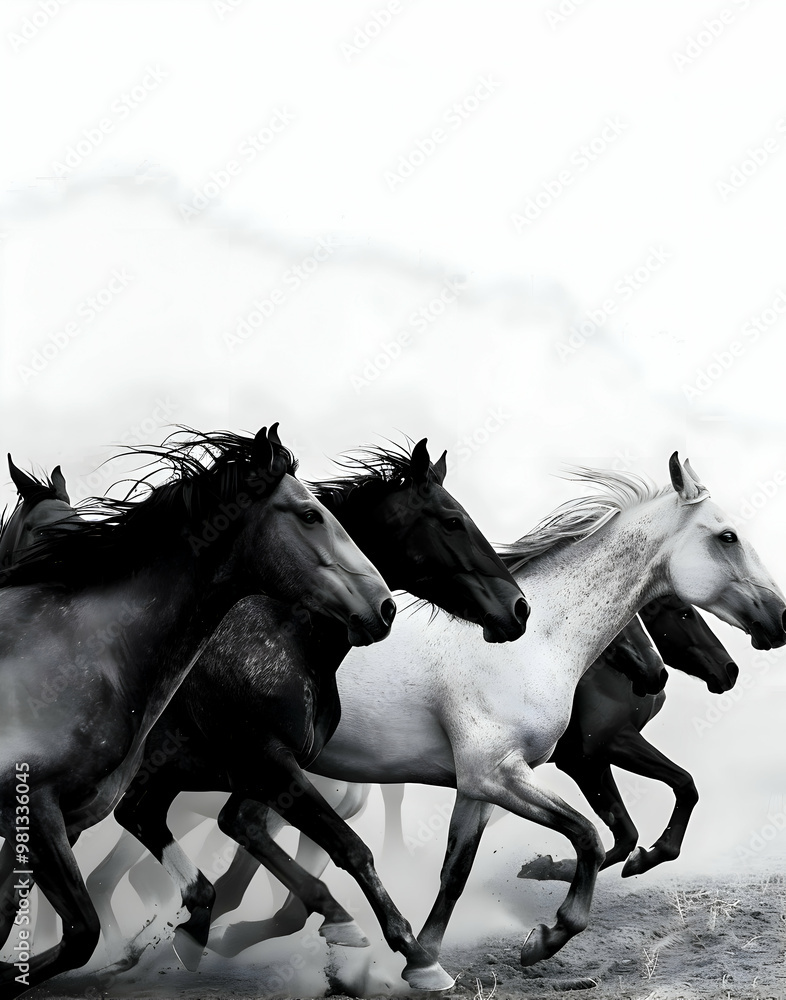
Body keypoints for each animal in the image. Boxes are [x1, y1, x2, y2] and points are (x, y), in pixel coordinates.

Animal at [86, 438, 529, 992]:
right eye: (452, 521)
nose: (519, 609)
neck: (283, 631)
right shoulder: (266, 759)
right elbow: (350, 846)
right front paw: (411, 952)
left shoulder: (262, 768)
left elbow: (245, 826)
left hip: (166, 773)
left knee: (138, 816)